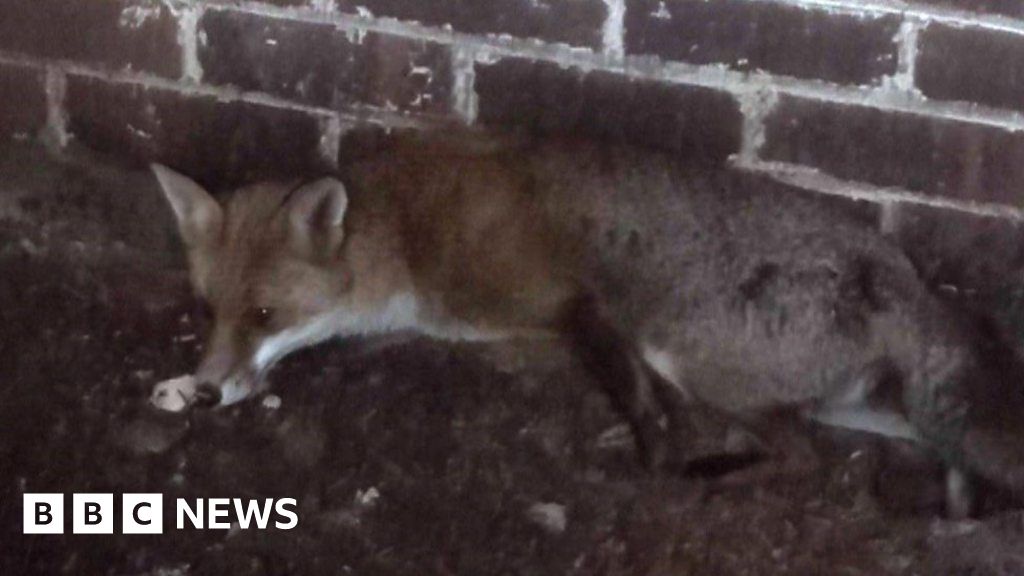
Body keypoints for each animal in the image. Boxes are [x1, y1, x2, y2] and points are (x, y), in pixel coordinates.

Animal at [149, 130, 1024, 516]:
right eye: (210, 311)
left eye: (265, 313)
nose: (207, 391)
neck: (411, 235)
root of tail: (902, 272)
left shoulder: (579, 306)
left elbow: (631, 394)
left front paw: (653, 451)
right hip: (858, 404)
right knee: (915, 442)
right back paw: (959, 502)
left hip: (692, 357)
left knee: (803, 456)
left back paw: (713, 473)